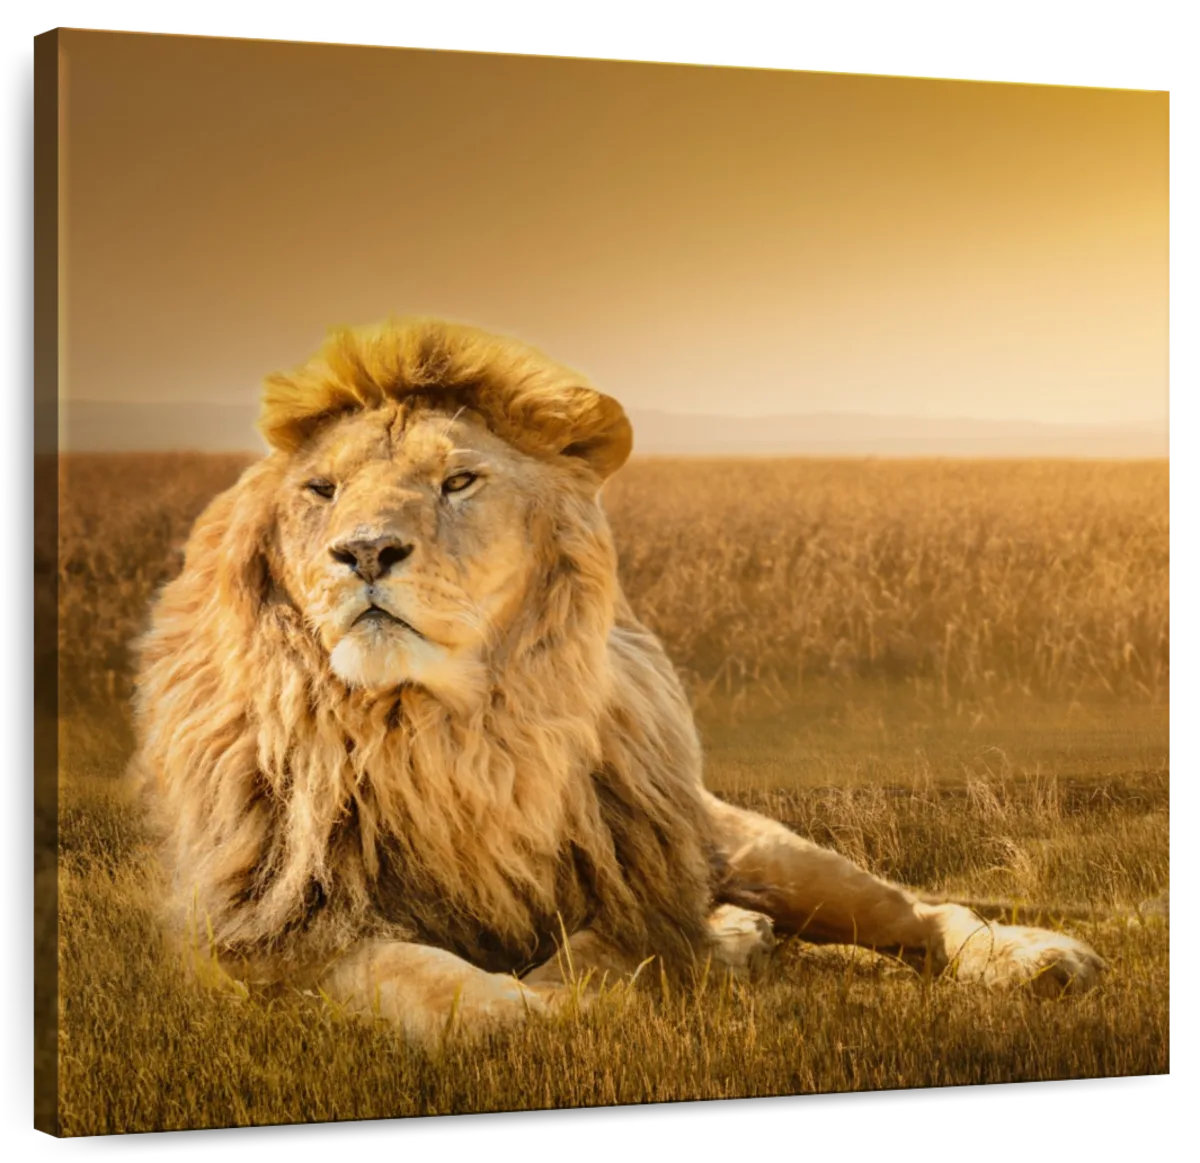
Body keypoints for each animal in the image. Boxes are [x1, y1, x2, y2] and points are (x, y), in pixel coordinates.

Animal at [132, 317, 1105, 1044]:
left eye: (459, 480)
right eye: (322, 490)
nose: (365, 551)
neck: (440, 732)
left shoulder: (633, 882)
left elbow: (609, 947)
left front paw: (613, 982)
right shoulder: (270, 929)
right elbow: (420, 977)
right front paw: (523, 1008)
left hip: (759, 848)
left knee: (921, 913)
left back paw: (1034, 958)